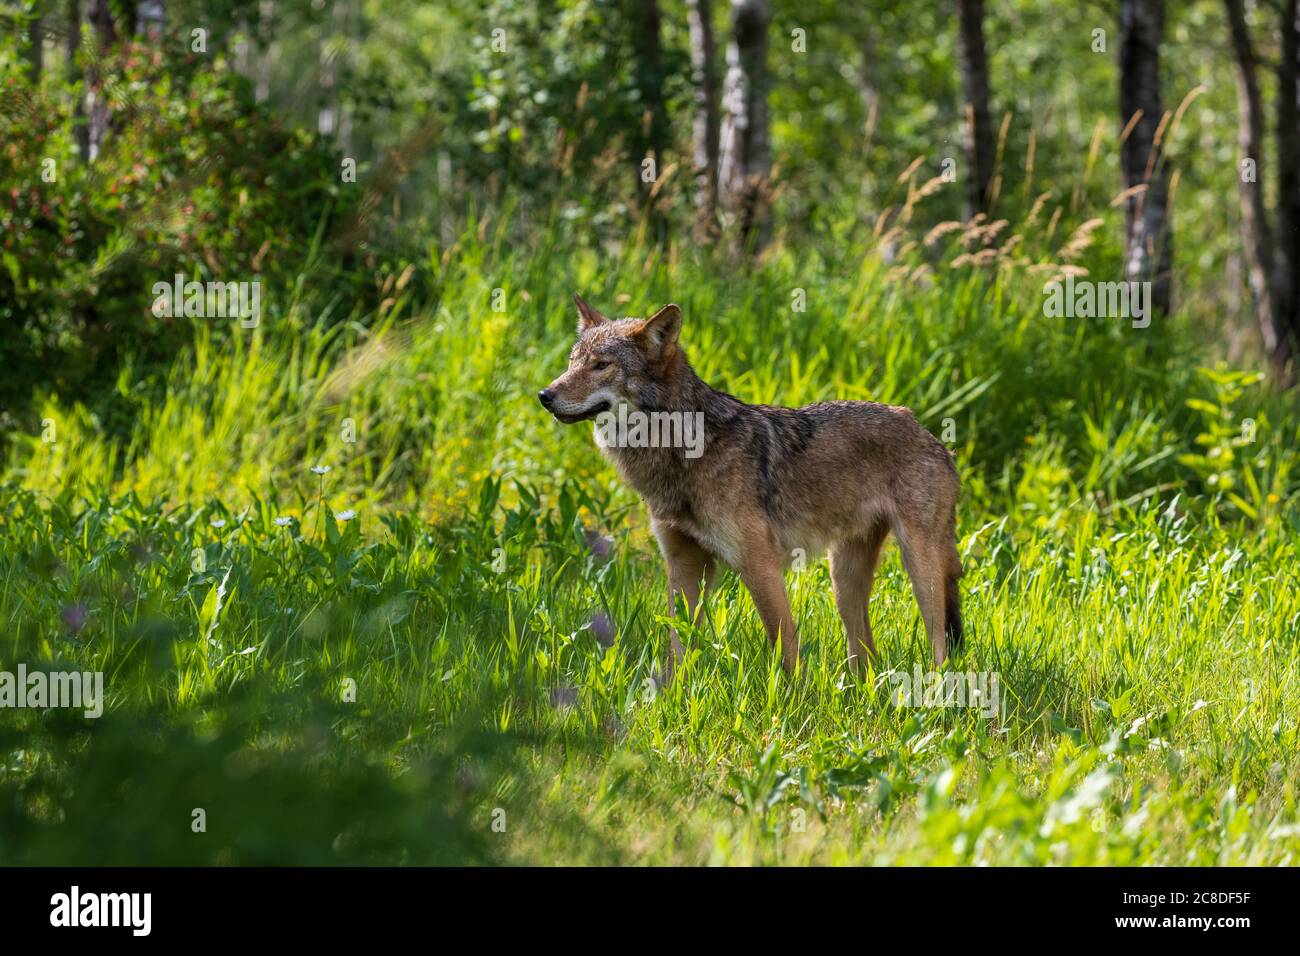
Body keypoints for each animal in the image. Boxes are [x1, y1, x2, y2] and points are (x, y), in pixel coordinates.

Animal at [540, 295, 963, 676]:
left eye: (601, 365)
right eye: (572, 362)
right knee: (865, 654)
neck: (682, 453)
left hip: (919, 570)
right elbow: (678, 647)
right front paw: (671, 696)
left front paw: (794, 701)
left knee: (940, 643)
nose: (545, 395)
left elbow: (785, 647)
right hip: (844, 580)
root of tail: (932, 436)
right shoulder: (683, 565)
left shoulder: (758, 564)